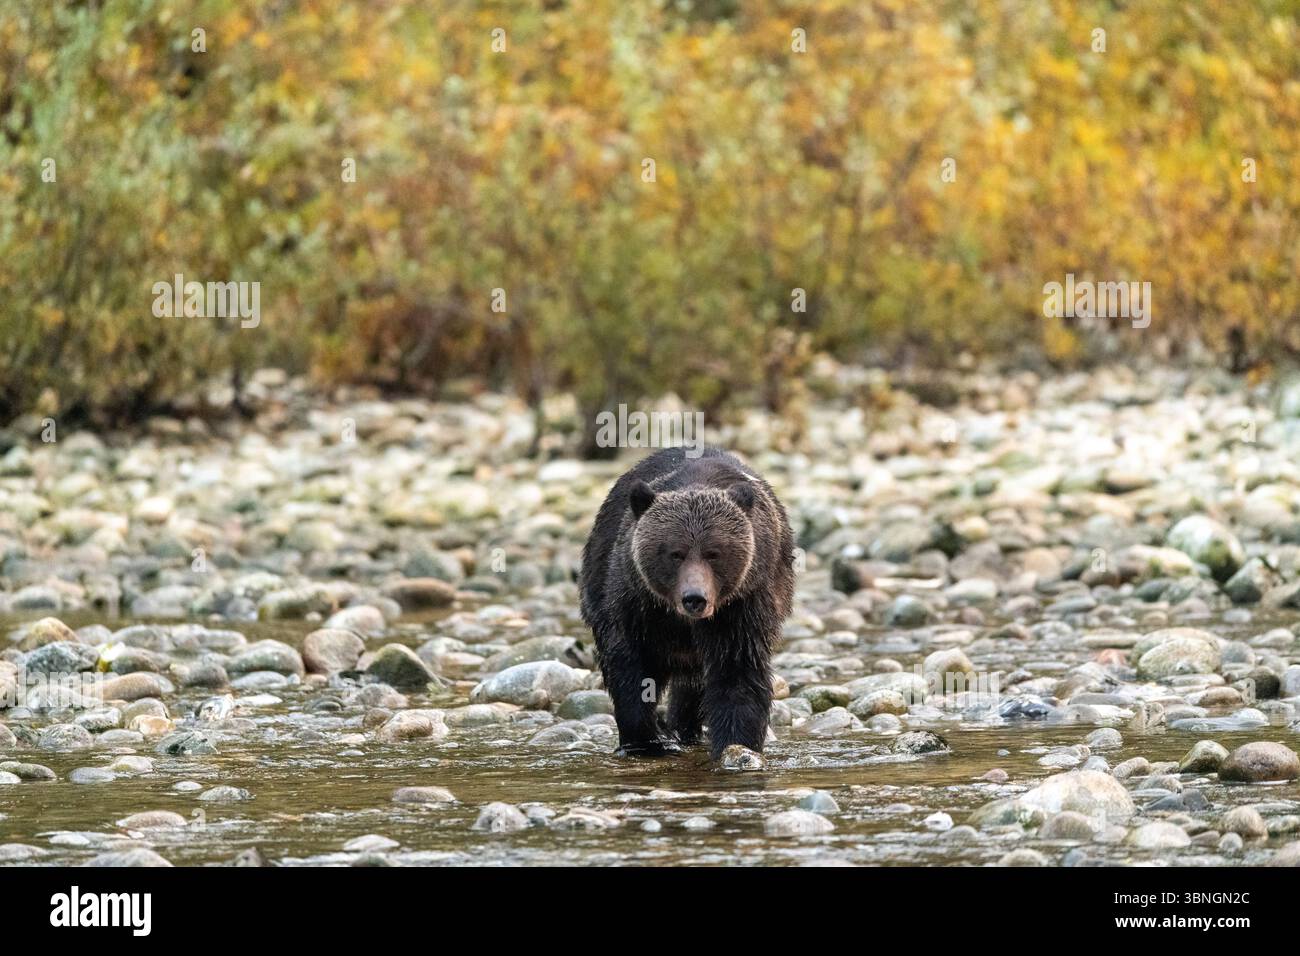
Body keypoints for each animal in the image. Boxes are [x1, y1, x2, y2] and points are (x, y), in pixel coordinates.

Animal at [579, 446, 795, 760]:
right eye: (675, 553)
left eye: (713, 553)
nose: (695, 598)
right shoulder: (635, 600)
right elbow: (631, 667)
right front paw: (646, 741)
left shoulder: (742, 605)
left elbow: (737, 671)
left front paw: (736, 743)